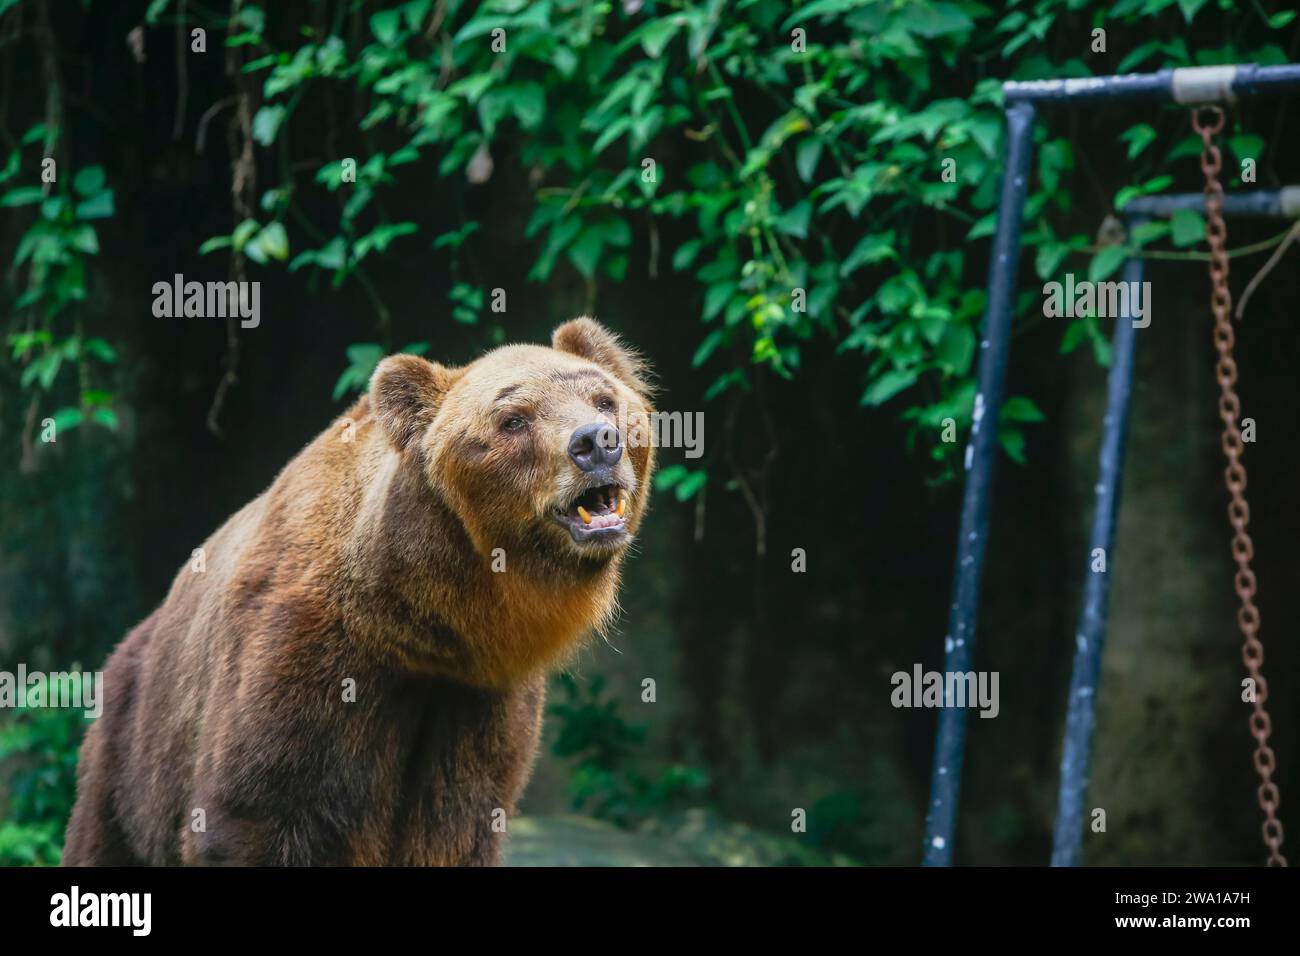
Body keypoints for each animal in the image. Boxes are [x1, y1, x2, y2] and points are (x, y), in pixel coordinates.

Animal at [62, 317, 655, 866]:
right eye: (513, 419)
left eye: (604, 398)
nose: (596, 442)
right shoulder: (303, 658)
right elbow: (260, 813)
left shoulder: (478, 703)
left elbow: (453, 828)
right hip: (134, 753)